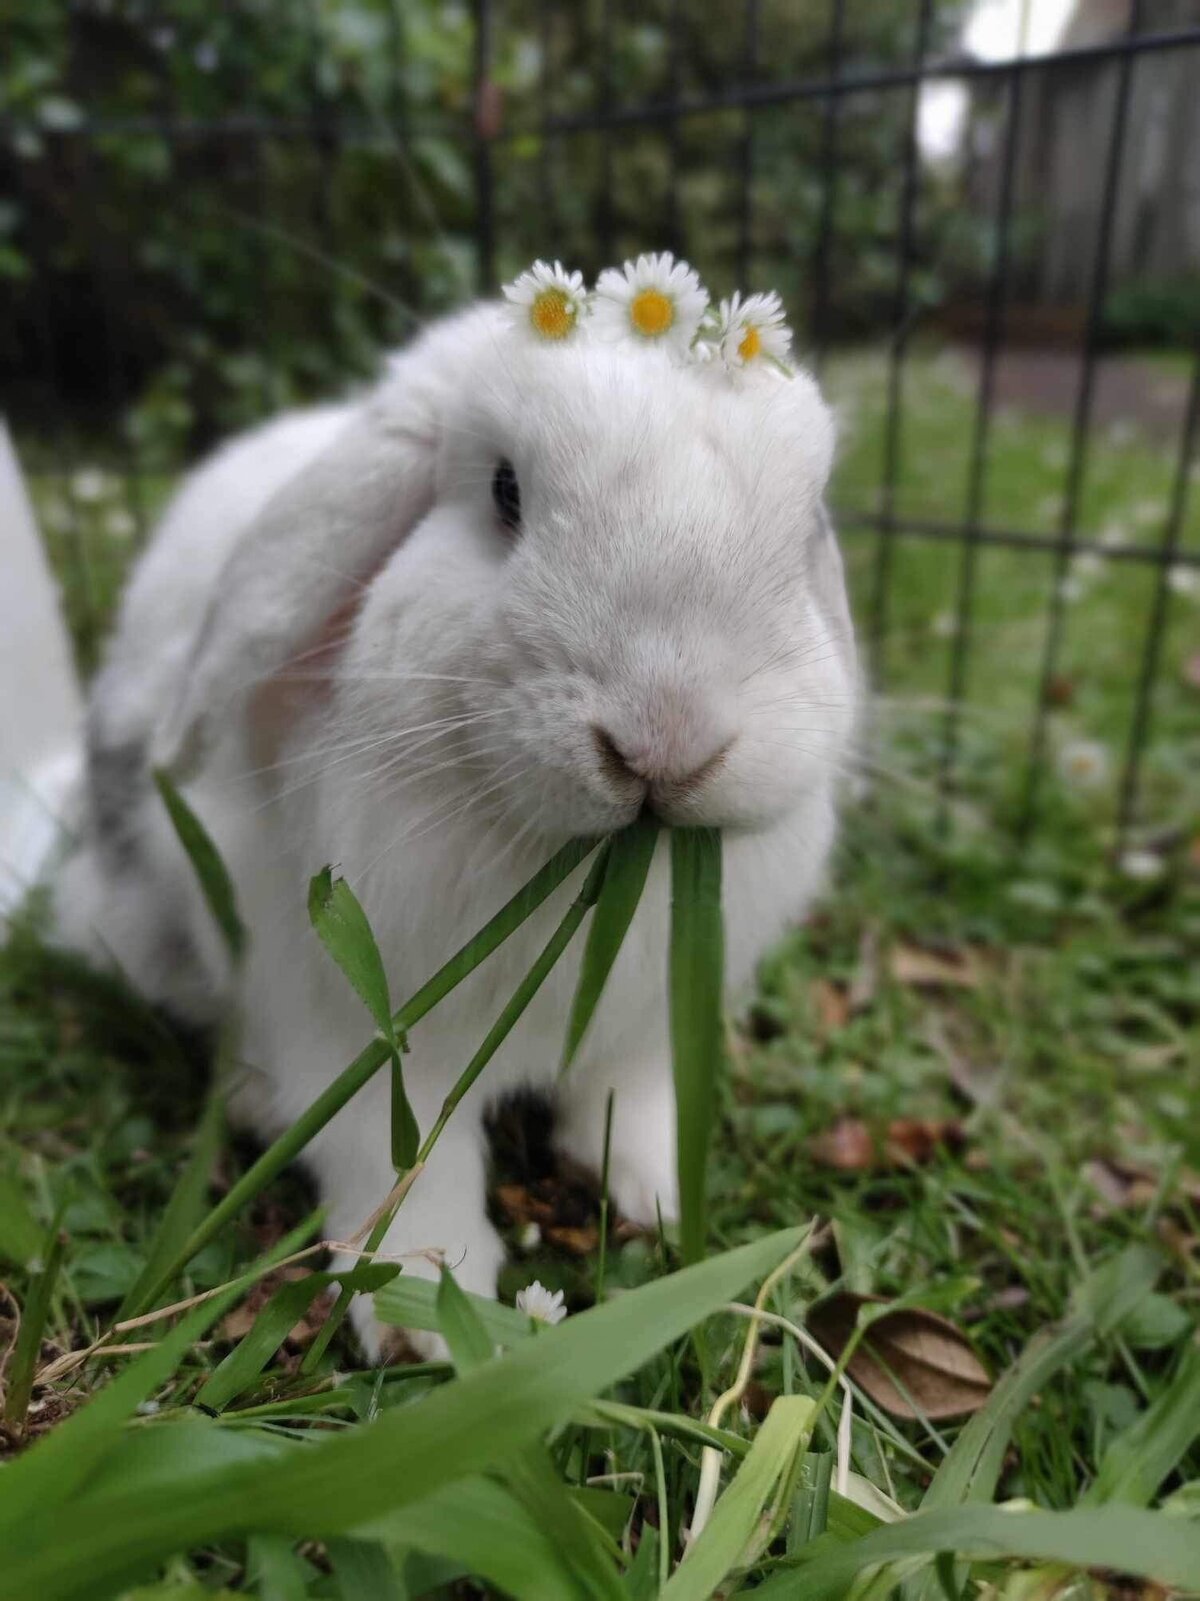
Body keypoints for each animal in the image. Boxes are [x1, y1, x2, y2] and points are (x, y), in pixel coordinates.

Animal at [55, 293, 859, 1355]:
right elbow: (401, 1165)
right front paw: (428, 1313)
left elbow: (633, 1099)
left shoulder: (642, 1026)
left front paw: (661, 1194)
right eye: (505, 492)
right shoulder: (359, 1031)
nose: (666, 740)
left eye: (810, 524)